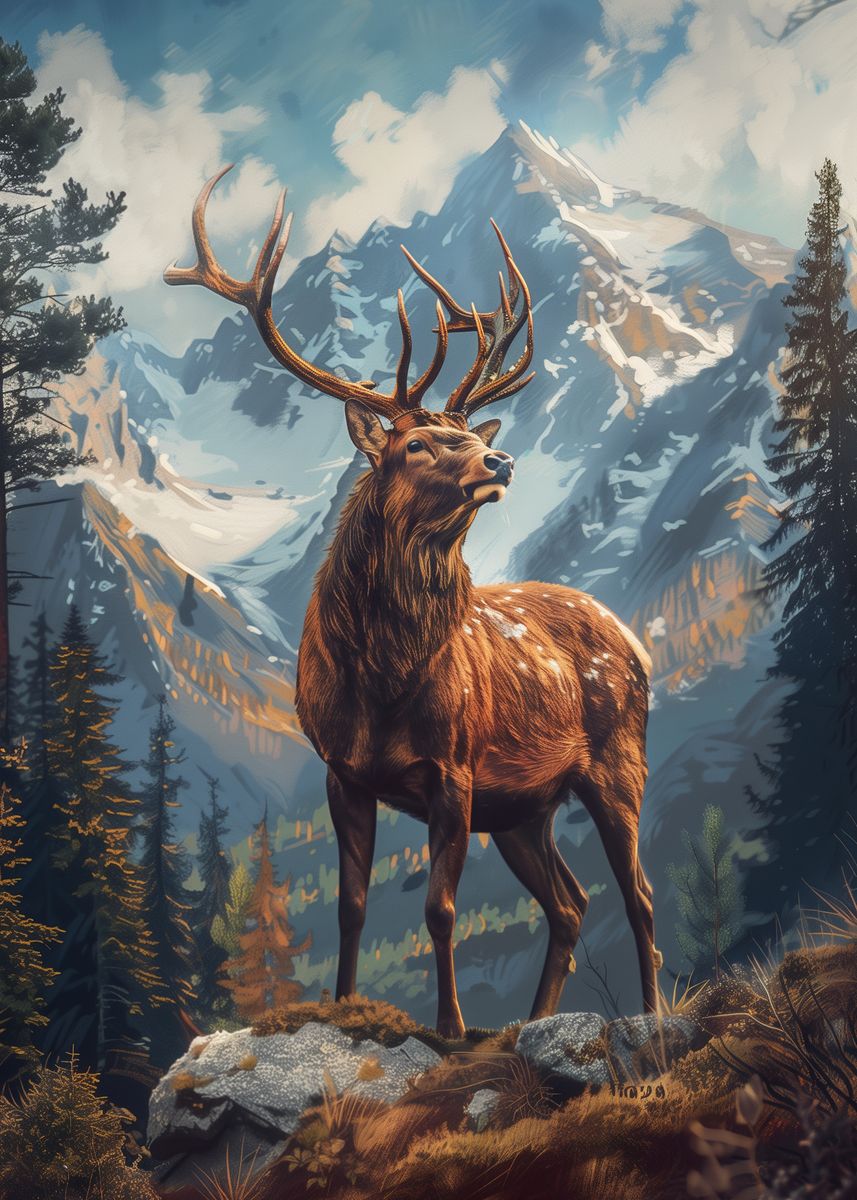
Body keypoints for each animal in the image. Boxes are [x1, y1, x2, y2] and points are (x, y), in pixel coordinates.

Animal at [166, 167, 662, 1038]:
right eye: (417, 443)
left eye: (463, 434)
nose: (499, 458)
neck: (379, 681)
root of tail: (636, 646)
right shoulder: (342, 772)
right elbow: (351, 907)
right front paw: (342, 1009)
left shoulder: (453, 770)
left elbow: (438, 909)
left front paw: (452, 1028)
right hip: (524, 808)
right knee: (569, 904)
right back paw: (535, 1021)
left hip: (614, 763)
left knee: (637, 895)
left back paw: (653, 1015)